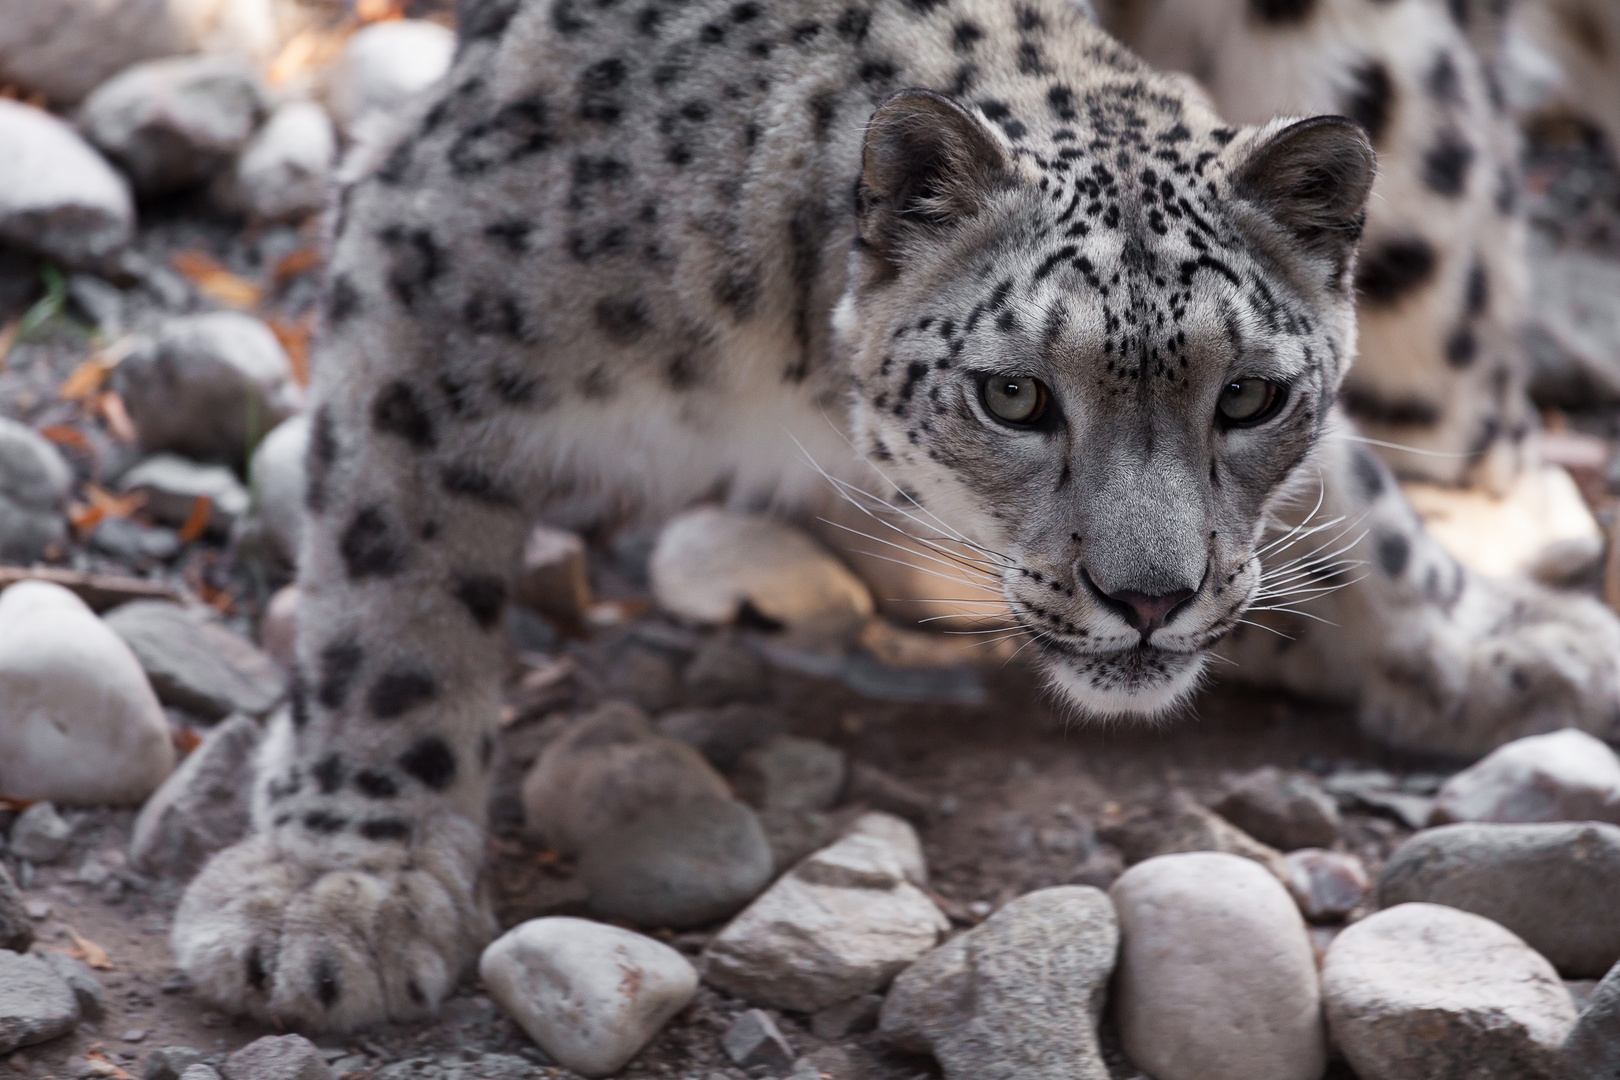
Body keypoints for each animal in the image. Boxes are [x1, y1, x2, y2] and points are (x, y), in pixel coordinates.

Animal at [167, 0, 1620, 1029]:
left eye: (1252, 395)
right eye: (1015, 394)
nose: (1149, 598)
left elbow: (1358, 487)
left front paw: (1489, 649)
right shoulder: (427, 267)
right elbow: (393, 602)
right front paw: (335, 898)